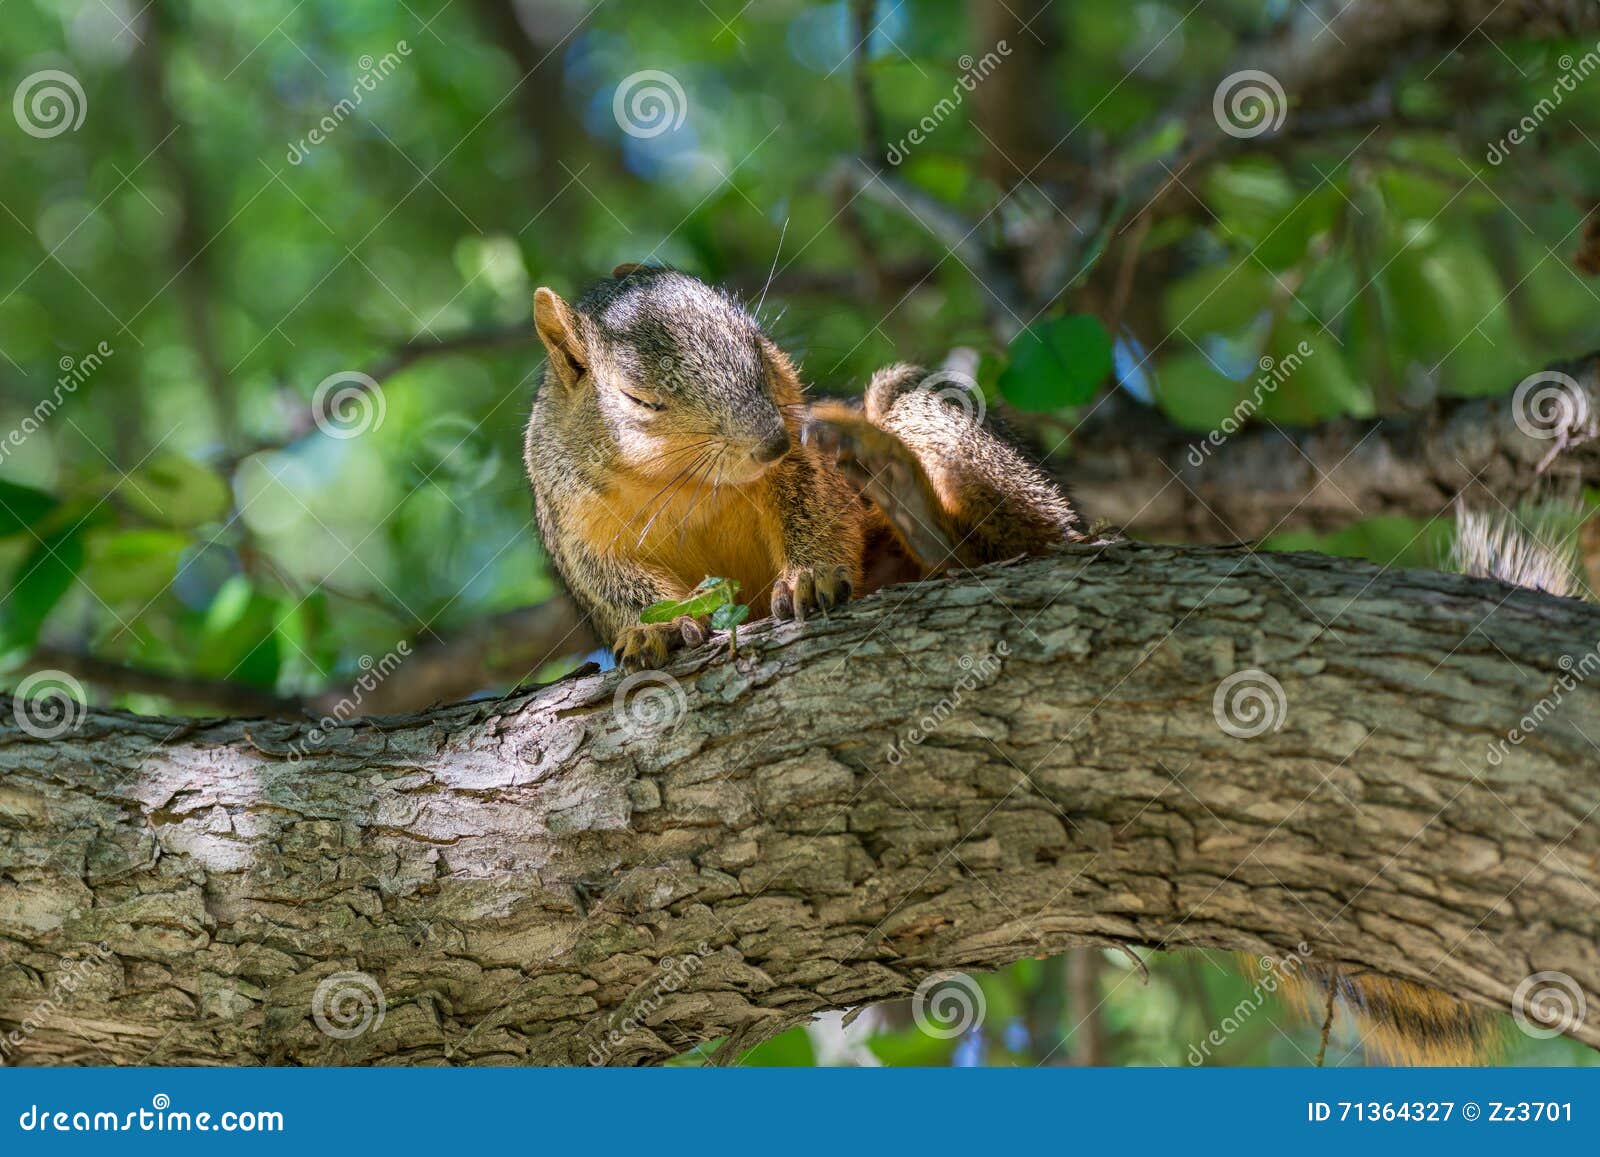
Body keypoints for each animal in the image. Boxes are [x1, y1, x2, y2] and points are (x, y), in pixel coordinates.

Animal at [522, 264, 1087, 670]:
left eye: (759, 344)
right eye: (640, 400)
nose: (772, 442)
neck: (684, 483)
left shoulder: (802, 460)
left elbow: (815, 511)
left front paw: (808, 580)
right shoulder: (575, 528)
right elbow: (613, 585)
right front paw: (653, 628)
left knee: (1022, 538)